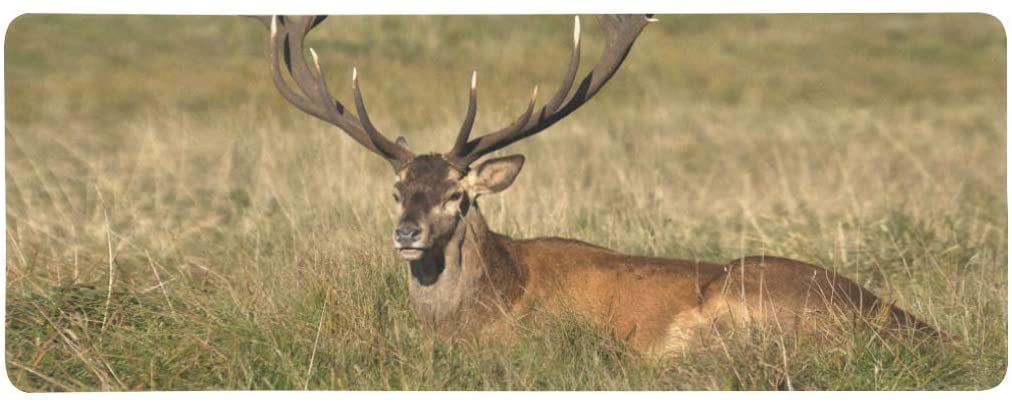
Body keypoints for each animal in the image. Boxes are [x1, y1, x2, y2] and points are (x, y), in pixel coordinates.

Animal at [253, 14, 945, 355]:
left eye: (459, 195)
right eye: (397, 190)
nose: (407, 234)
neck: (474, 315)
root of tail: (919, 331)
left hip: (741, 301)